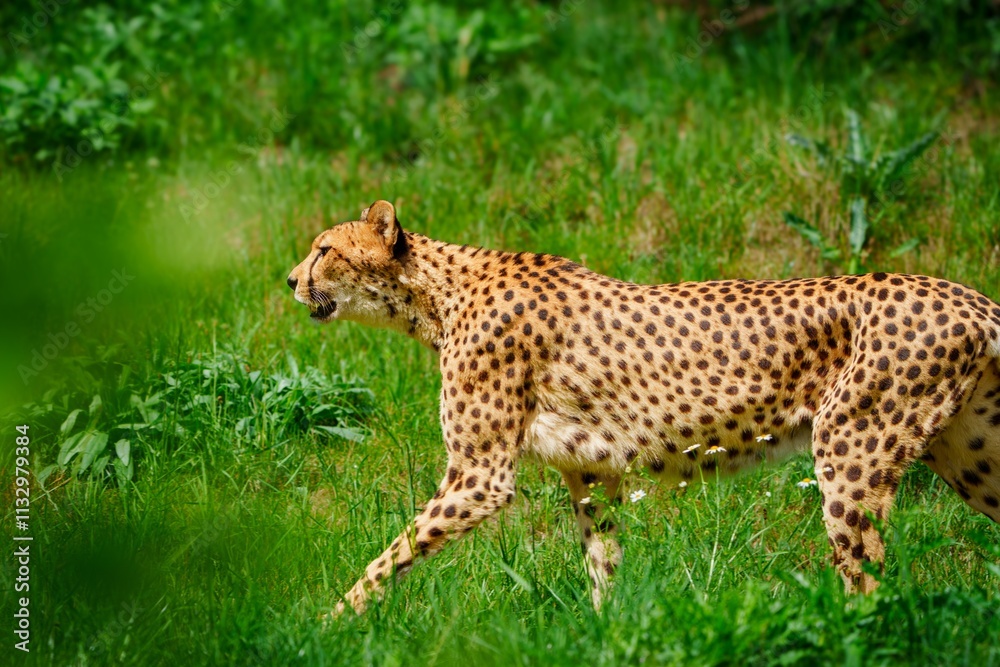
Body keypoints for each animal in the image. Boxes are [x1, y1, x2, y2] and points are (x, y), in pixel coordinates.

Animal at [286, 200, 1000, 615]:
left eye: (325, 249)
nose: (291, 280)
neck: (437, 296)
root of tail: (968, 296)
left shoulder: (479, 477)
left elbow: (393, 553)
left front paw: (330, 623)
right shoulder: (591, 470)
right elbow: (602, 562)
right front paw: (602, 632)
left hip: (851, 453)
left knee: (869, 584)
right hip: (971, 456)